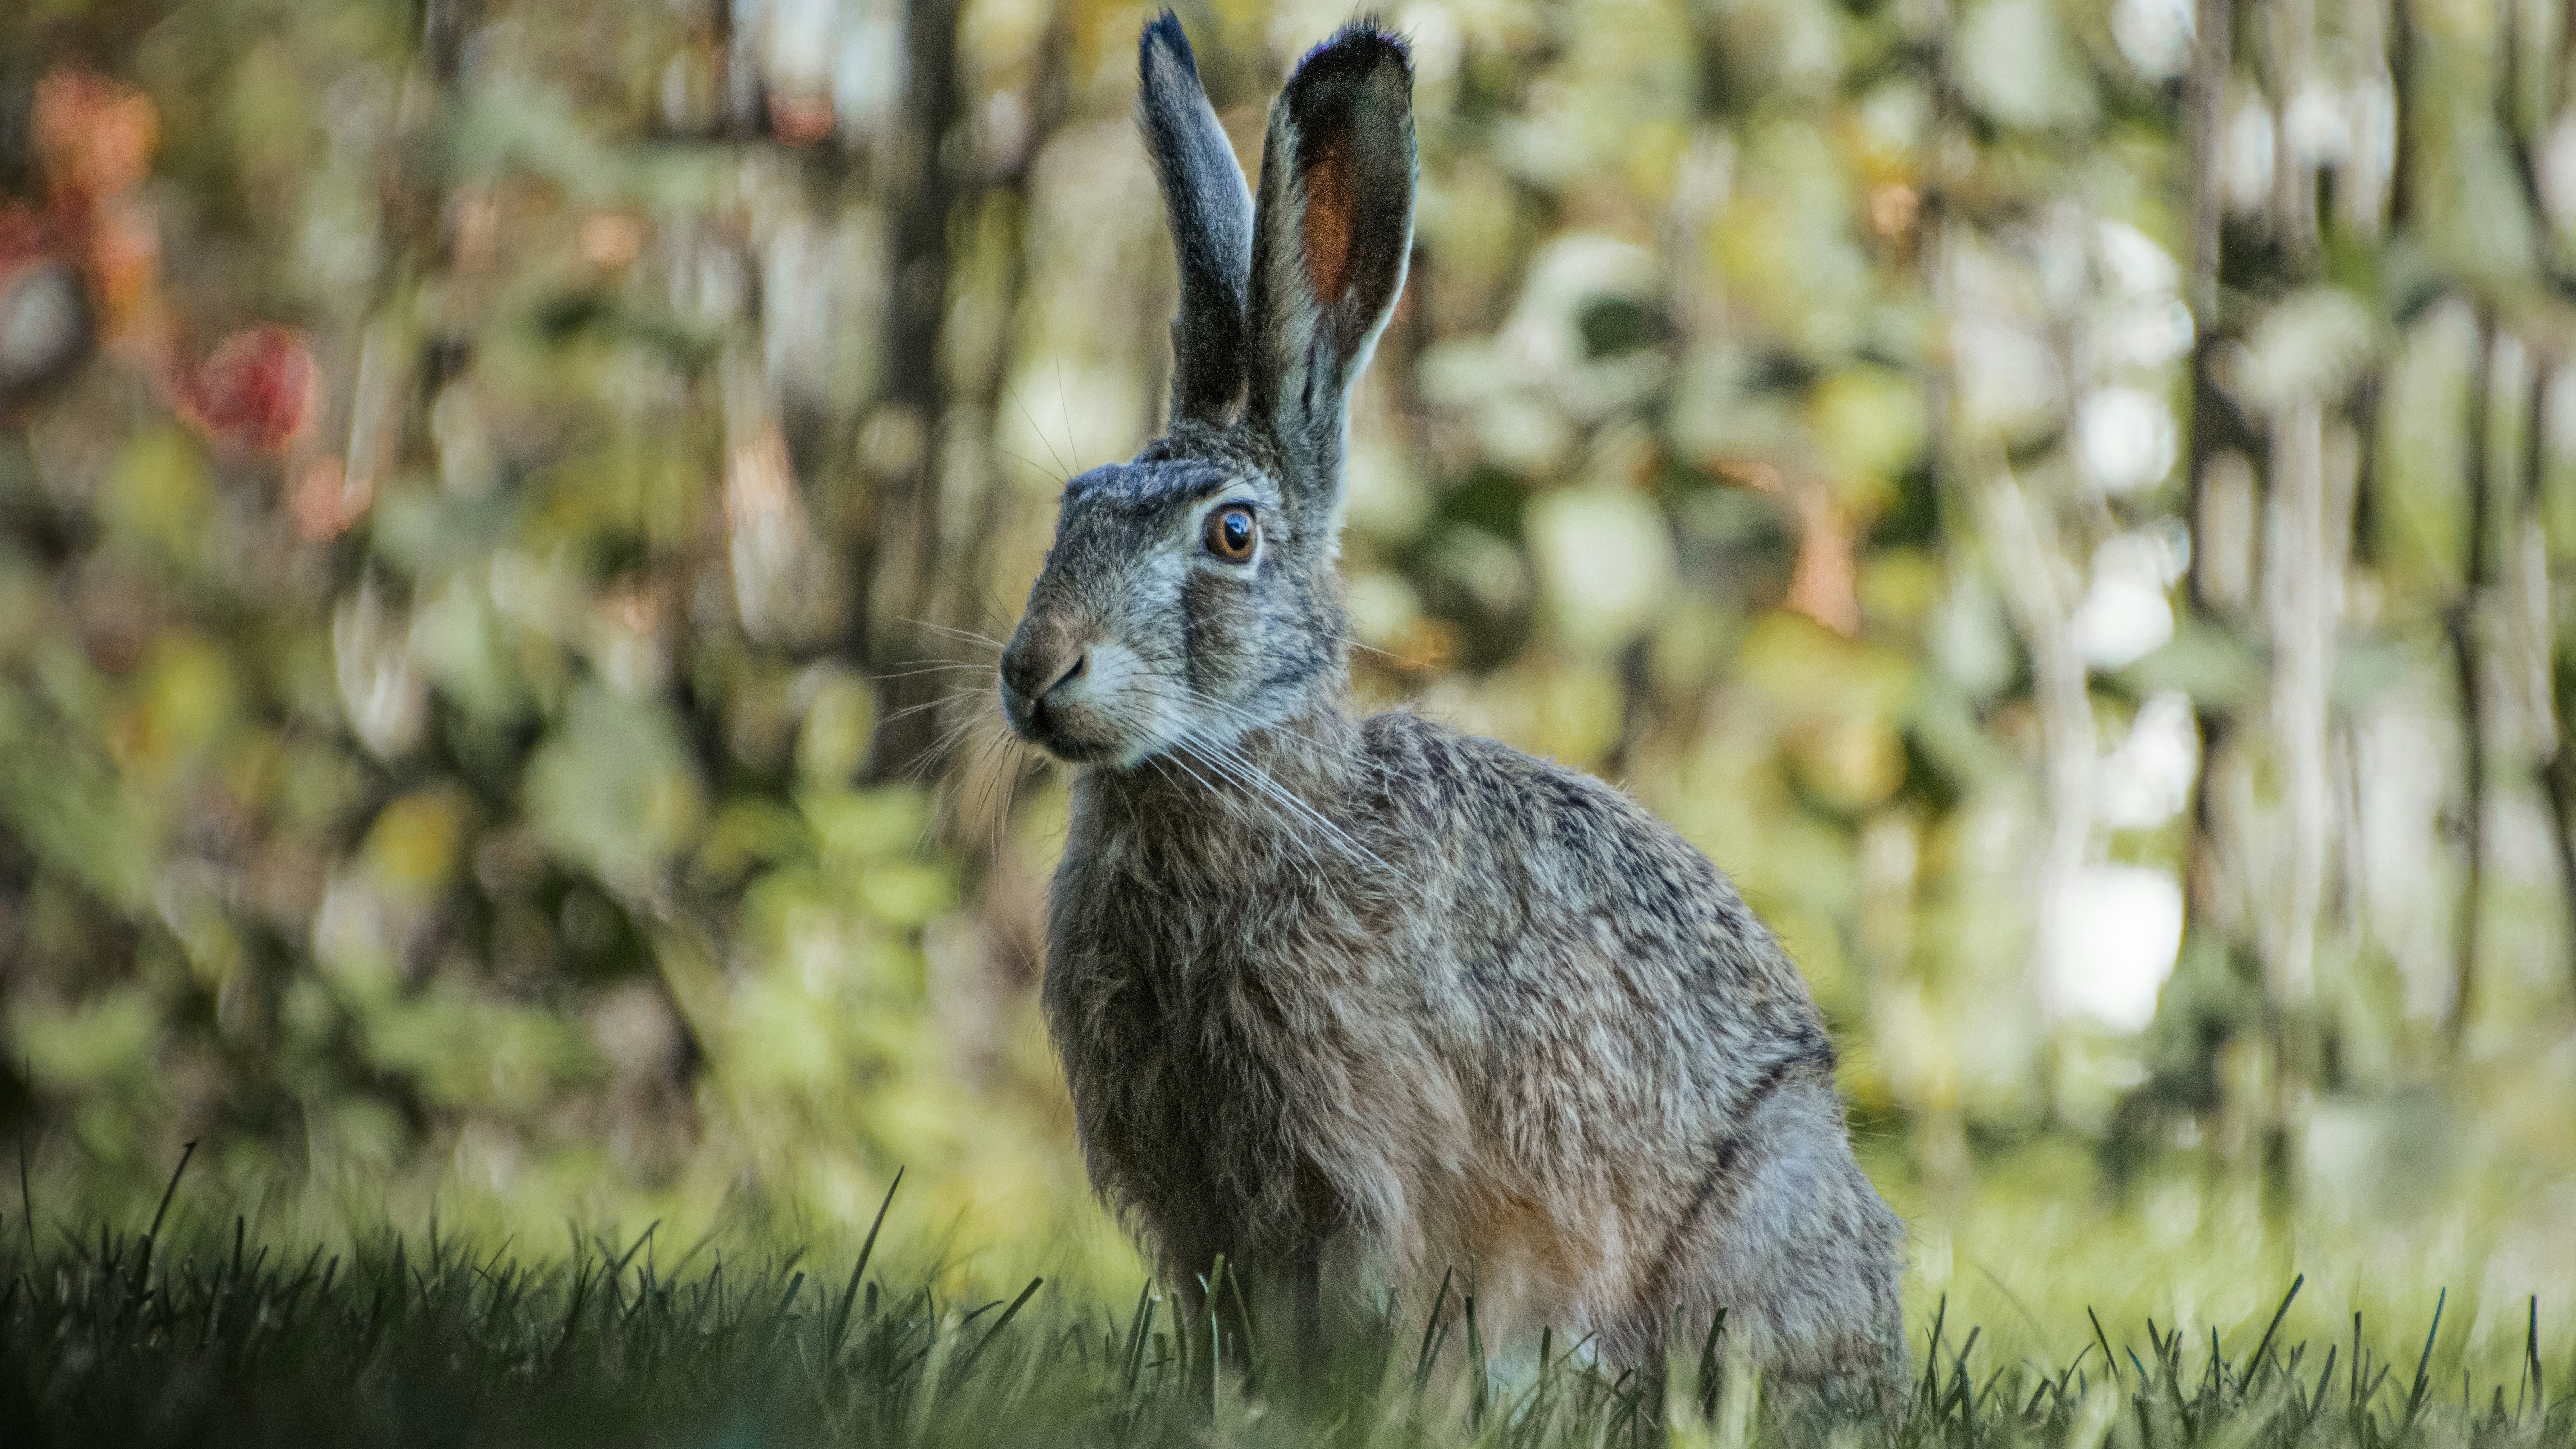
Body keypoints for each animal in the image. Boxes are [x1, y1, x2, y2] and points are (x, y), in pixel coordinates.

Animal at [994, 10, 1909, 1412]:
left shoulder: (1374, 1181)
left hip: (1759, 1204)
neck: (1251, 777)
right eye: (1072, 510)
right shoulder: (1196, 1206)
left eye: (1233, 534)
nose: (1034, 671)